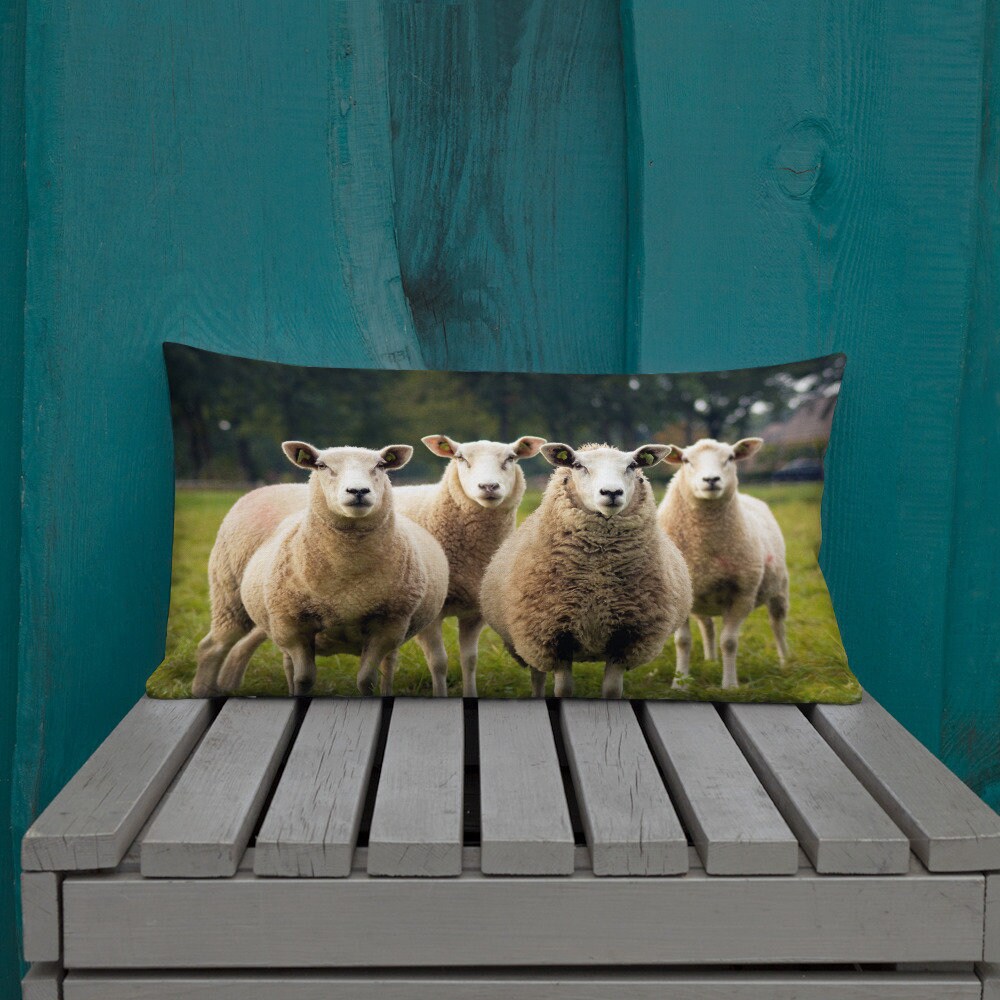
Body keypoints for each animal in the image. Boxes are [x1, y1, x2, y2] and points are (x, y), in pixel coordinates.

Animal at [192, 441, 448, 697]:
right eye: (322, 465)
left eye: (381, 465)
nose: (358, 491)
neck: (349, 573)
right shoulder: (293, 625)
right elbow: (304, 678)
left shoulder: (389, 626)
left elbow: (367, 680)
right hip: (230, 595)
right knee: (212, 646)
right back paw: (202, 690)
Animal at [393, 434, 546, 697]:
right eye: (460, 457)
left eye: (511, 458)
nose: (489, 487)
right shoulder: (431, 613)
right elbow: (439, 663)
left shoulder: (475, 612)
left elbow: (470, 660)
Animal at [480, 443, 693, 699]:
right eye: (578, 465)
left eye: (632, 466)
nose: (611, 492)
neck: (597, 577)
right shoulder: (553, 637)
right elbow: (563, 689)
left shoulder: (627, 638)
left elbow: (611, 690)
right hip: (529, 641)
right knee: (537, 676)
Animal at [657, 437, 790, 690]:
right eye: (686, 460)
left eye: (730, 457)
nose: (711, 480)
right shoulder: (678, 595)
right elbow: (683, 641)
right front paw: (680, 683)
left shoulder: (743, 595)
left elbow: (729, 641)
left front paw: (729, 685)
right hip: (700, 598)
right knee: (707, 626)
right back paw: (710, 661)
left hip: (780, 589)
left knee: (777, 625)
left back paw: (785, 662)